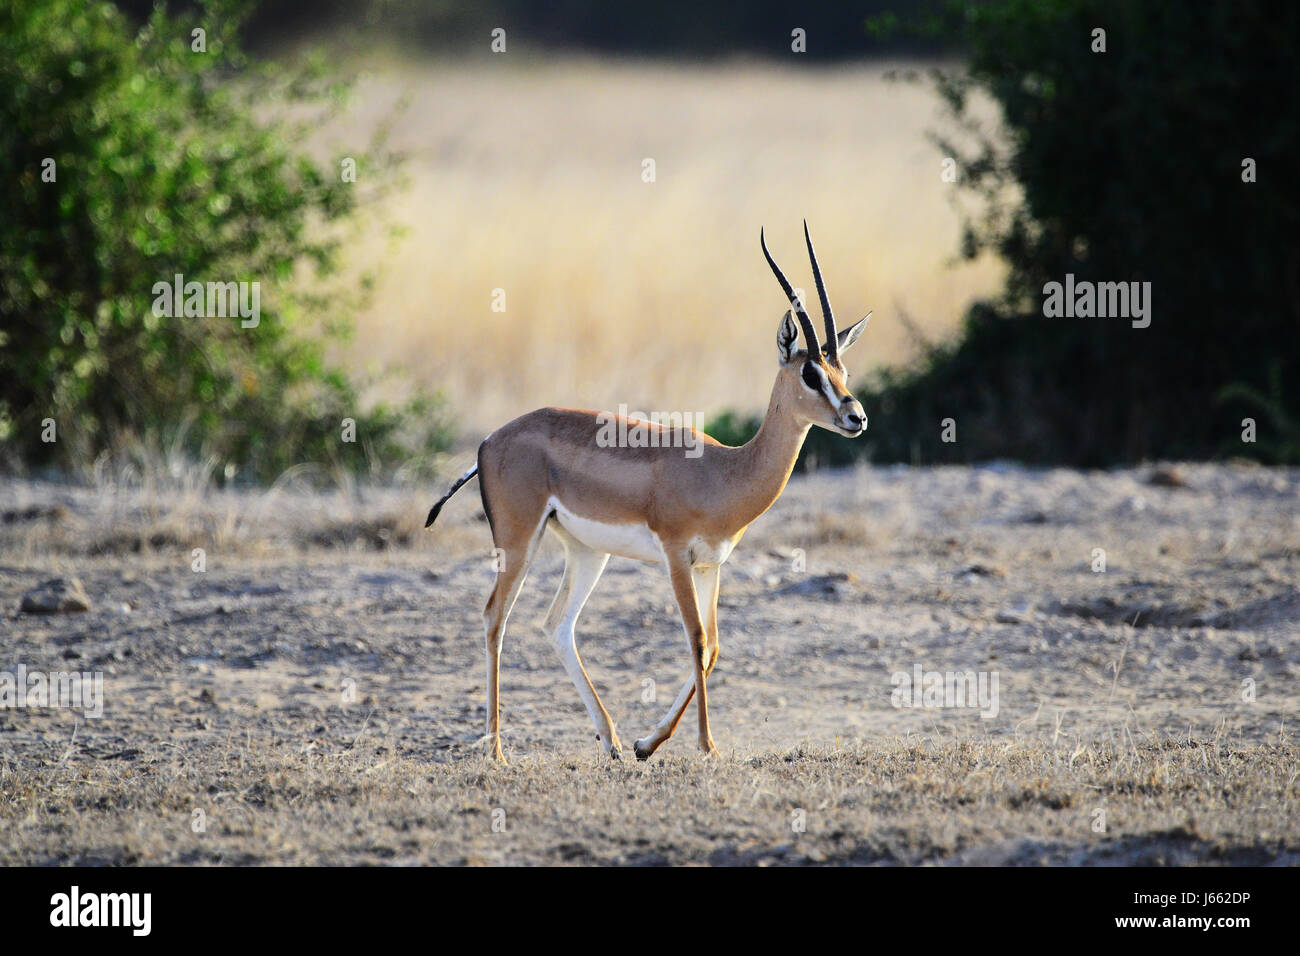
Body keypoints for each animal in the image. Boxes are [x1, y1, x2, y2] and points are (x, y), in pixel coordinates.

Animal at [425, 223, 870, 762]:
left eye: (843, 371)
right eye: (810, 373)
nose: (856, 417)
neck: (724, 471)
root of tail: (489, 441)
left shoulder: (711, 566)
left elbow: (714, 647)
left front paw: (646, 743)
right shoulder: (677, 556)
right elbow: (696, 640)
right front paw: (707, 747)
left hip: (587, 552)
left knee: (556, 624)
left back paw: (613, 742)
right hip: (518, 542)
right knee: (496, 617)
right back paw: (497, 753)